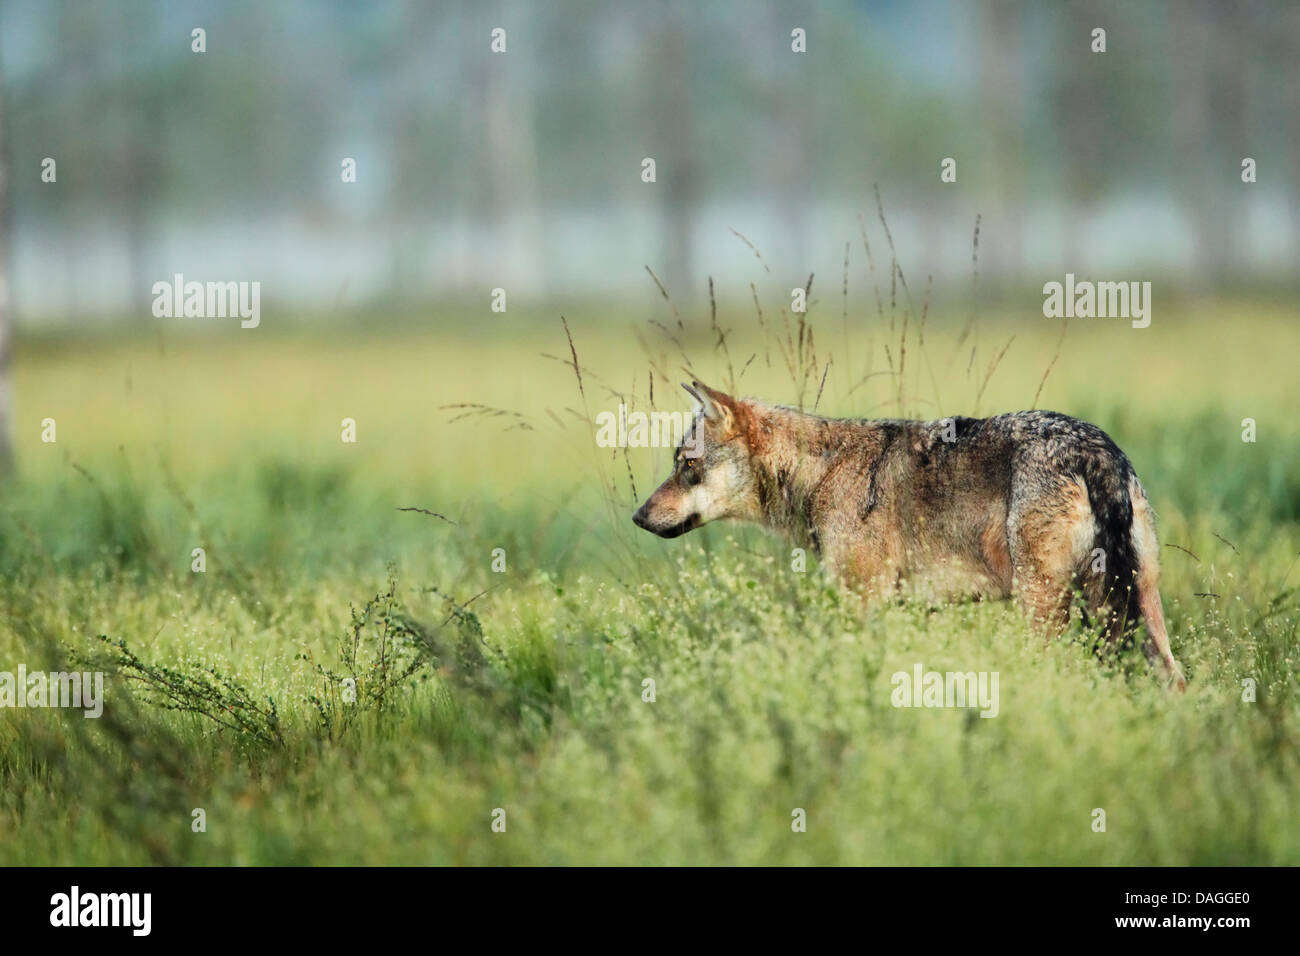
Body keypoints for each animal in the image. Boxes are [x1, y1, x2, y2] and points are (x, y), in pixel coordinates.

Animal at [632, 381, 1186, 691]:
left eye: (686, 466)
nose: (638, 517)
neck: (823, 472)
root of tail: (1098, 451)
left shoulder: (862, 602)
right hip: (1136, 605)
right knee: (1176, 680)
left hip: (1046, 610)